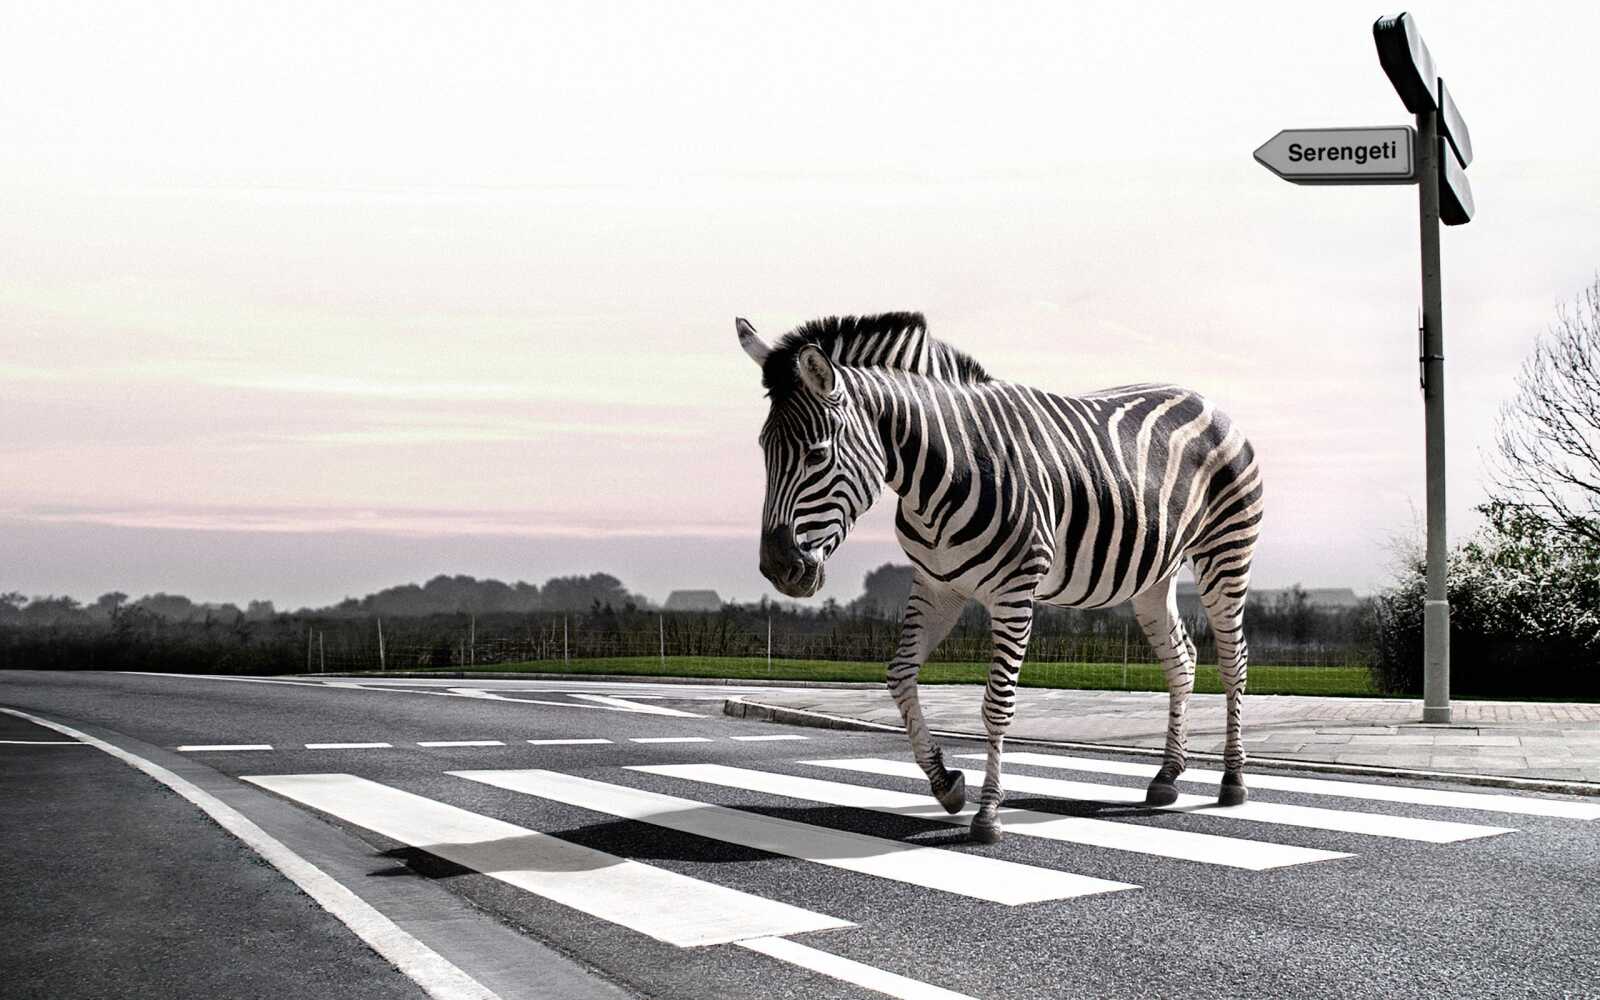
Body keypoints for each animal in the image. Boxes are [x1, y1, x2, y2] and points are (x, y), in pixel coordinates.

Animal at [739, 311, 1263, 843]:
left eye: (816, 454)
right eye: (763, 449)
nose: (778, 568)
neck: (943, 471)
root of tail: (1205, 400)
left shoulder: (1015, 591)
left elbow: (997, 703)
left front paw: (988, 812)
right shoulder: (936, 586)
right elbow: (900, 677)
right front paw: (946, 783)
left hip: (1226, 552)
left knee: (1233, 660)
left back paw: (1232, 779)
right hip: (1154, 577)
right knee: (1183, 660)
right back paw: (1167, 776)